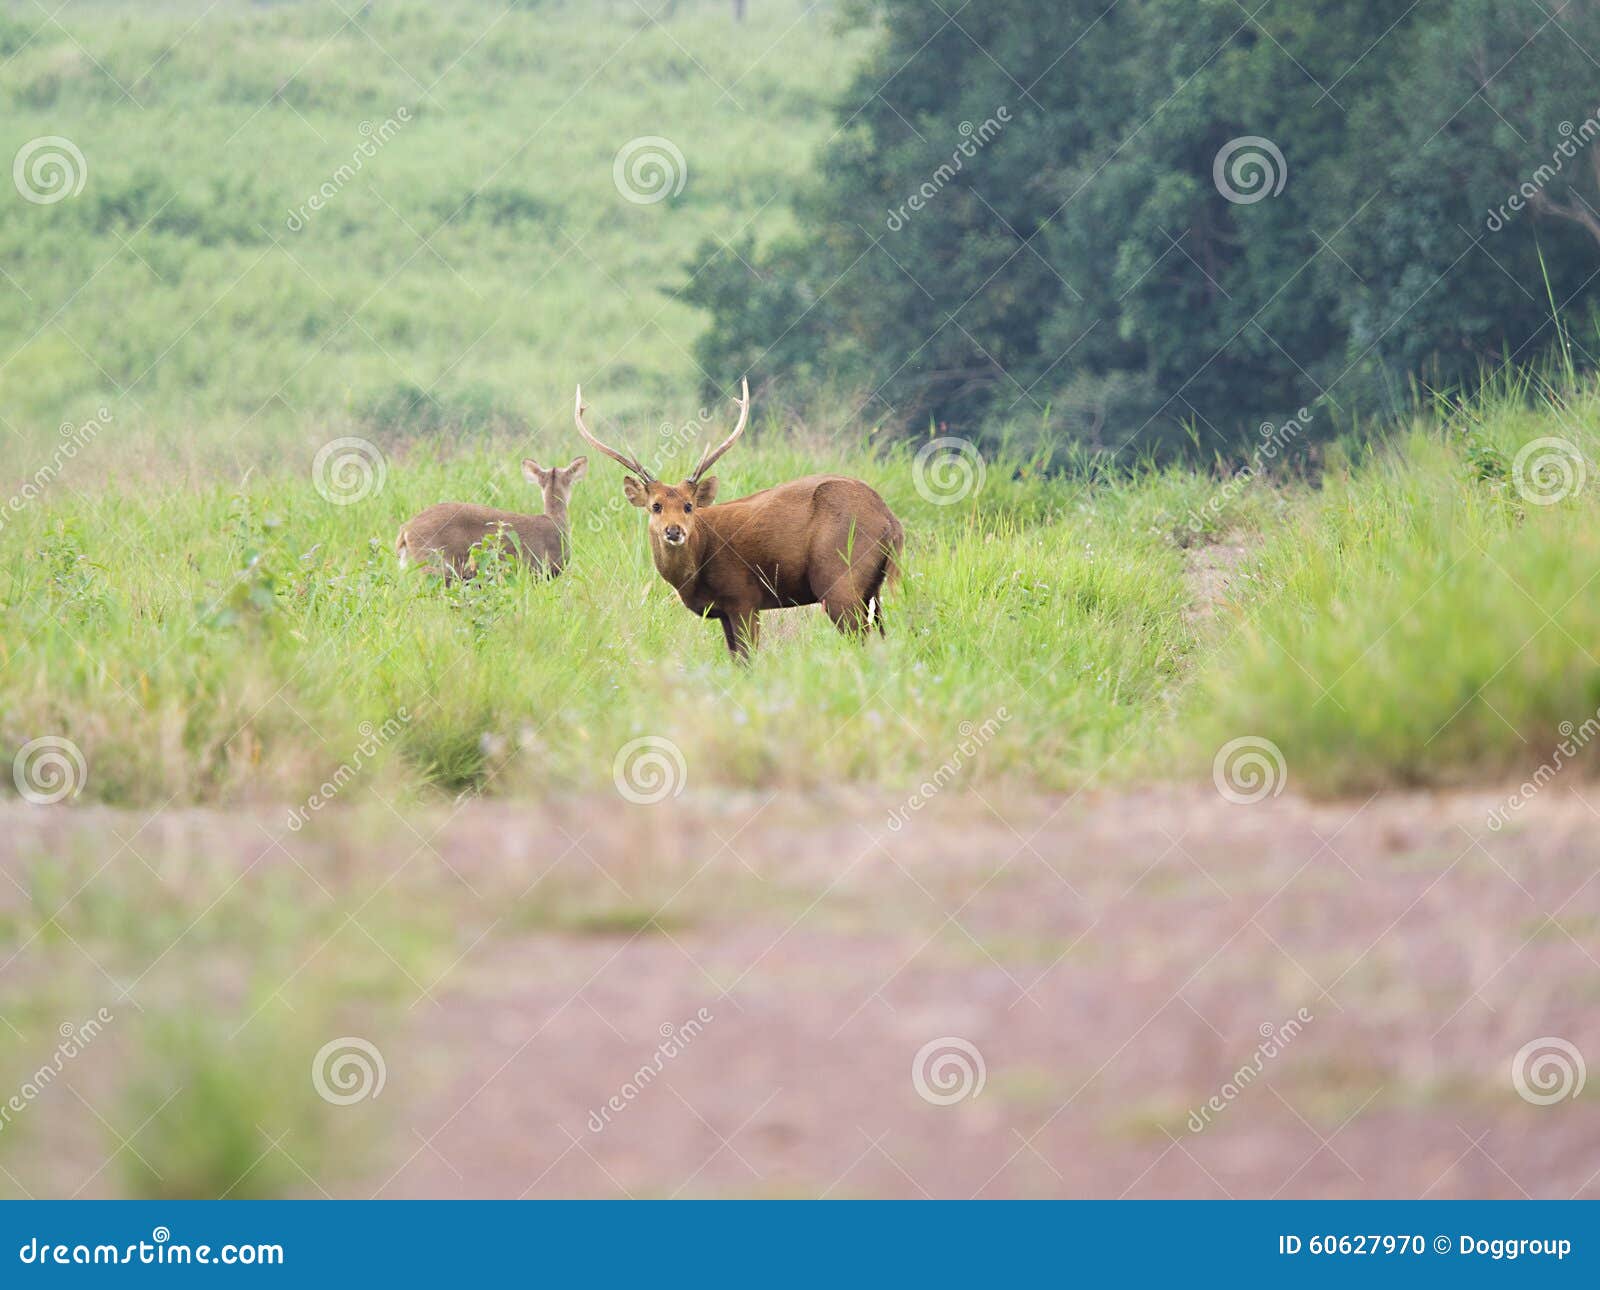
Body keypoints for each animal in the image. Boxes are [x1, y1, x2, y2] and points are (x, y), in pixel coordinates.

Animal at [575, 378, 903, 658]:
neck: (698, 566)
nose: (674, 531)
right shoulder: (723, 611)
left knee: (862, 640)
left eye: (689, 506)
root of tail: (890, 521)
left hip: (840, 578)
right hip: (872, 588)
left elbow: (748, 659)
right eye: (656, 506)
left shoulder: (743, 597)